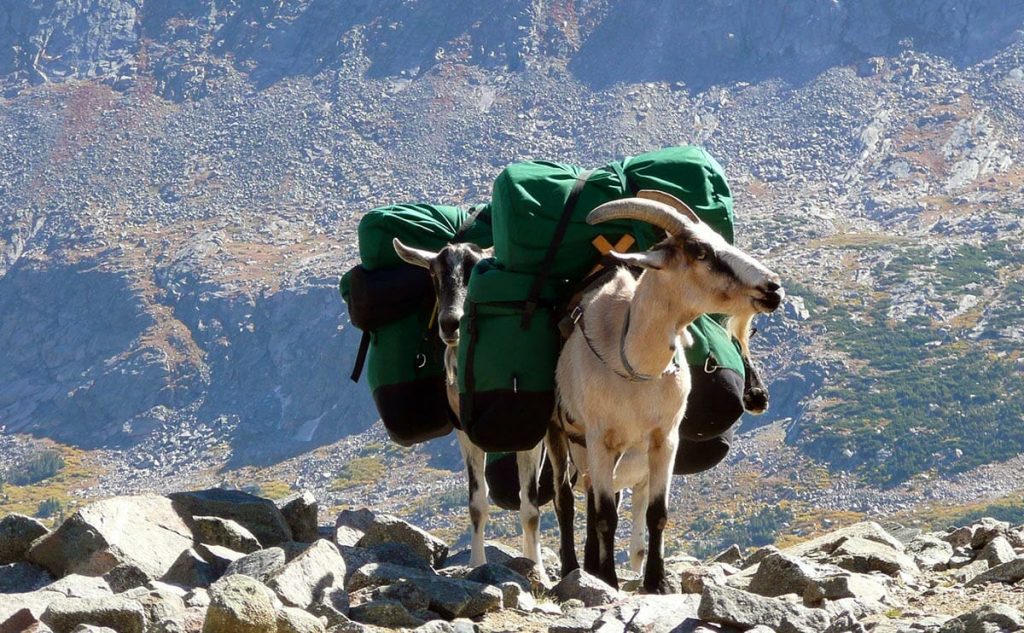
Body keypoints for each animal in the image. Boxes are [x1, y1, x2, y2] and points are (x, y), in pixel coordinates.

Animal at [392, 238, 547, 576]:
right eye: (434, 274)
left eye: (476, 271)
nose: (450, 324)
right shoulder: (465, 429)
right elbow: (477, 502)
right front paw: (477, 564)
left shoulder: (533, 431)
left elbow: (530, 506)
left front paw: (538, 570)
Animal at [549, 191, 783, 593]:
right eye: (700, 251)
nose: (773, 288)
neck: (633, 365)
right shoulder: (600, 437)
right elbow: (606, 514)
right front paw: (609, 579)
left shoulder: (664, 438)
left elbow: (655, 512)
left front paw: (656, 581)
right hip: (557, 432)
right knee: (565, 496)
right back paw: (573, 568)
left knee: (594, 493)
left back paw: (591, 566)